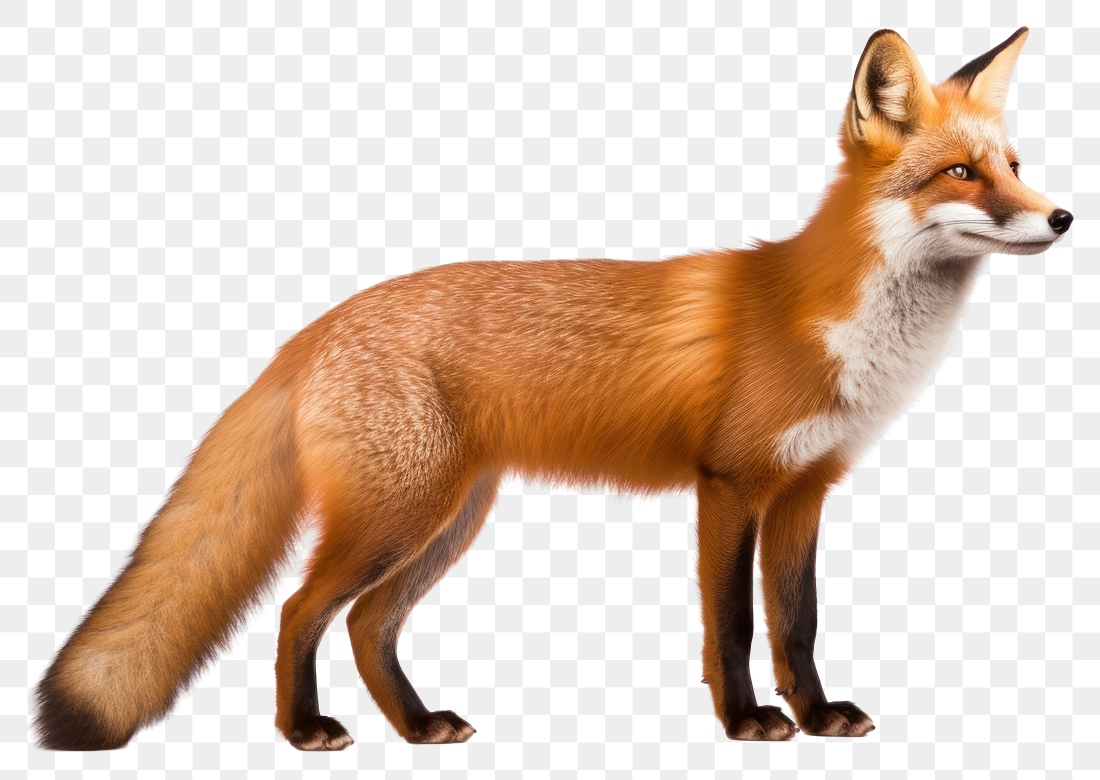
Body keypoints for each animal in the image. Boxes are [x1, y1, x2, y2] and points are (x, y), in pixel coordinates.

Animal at [35, 27, 1071, 751]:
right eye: (961, 174)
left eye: (1015, 167)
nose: (1062, 216)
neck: (831, 320)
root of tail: (319, 325)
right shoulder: (730, 485)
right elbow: (735, 626)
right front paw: (747, 725)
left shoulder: (805, 492)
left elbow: (799, 625)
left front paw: (816, 717)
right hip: (399, 515)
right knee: (299, 611)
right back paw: (304, 733)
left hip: (448, 518)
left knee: (366, 624)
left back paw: (417, 729)